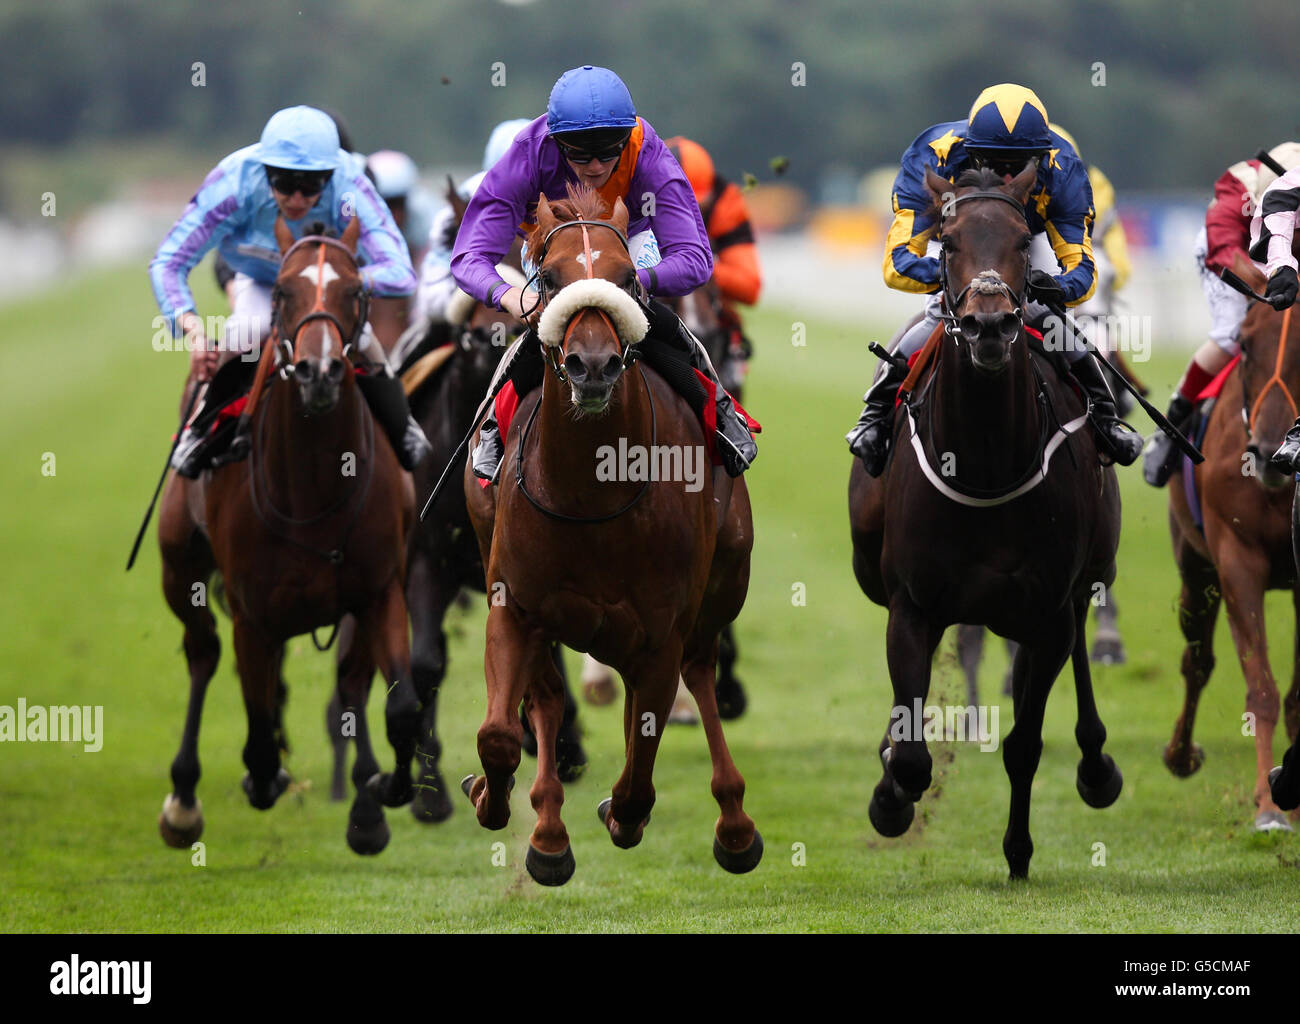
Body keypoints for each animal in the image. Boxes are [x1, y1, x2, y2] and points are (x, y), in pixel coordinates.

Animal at [156, 215, 421, 855]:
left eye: (355, 290)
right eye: (281, 291)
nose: (318, 372)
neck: (314, 486)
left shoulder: (380, 590)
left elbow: (400, 706)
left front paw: (384, 789)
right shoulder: (253, 613)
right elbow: (254, 731)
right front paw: (265, 774)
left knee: (349, 681)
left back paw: (364, 803)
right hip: (179, 570)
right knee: (203, 653)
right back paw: (184, 800)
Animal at [848, 163, 1124, 879]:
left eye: (1024, 240)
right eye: (947, 242)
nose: (991, 325)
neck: (987, 460)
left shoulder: (1048, 614)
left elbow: (1024, 743)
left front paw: (1019, 849)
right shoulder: (911, 605)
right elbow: (911, 756)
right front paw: (889, 797)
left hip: (1084, 577)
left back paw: (1096, 764)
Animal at [1165, 290, 1300, 831]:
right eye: (1244, 344)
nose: (1267, 454)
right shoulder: (1237, 560)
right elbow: (1260, 687)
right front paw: (1267, 808)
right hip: (1195, 568)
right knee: (1197, 661)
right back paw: (1181, 755)